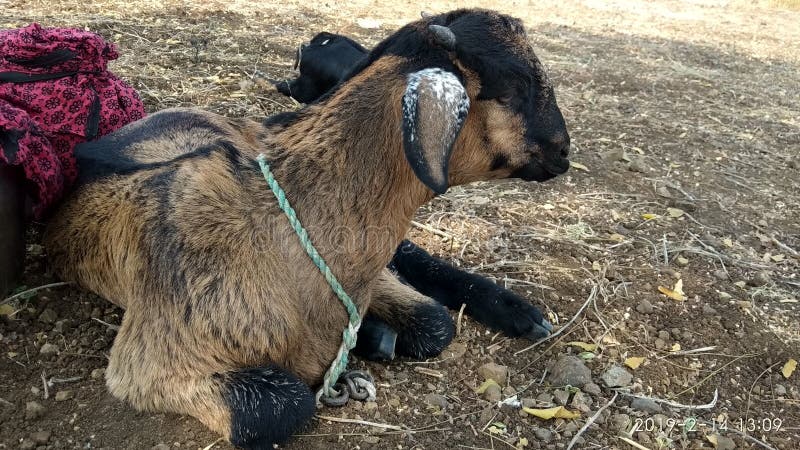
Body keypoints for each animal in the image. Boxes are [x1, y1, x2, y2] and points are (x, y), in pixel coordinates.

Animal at [44, 9, 571, 449]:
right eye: (514, 87)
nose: (565, 152)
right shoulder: (150, 363)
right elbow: (285, 405)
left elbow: (436, 322)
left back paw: (520, 313)